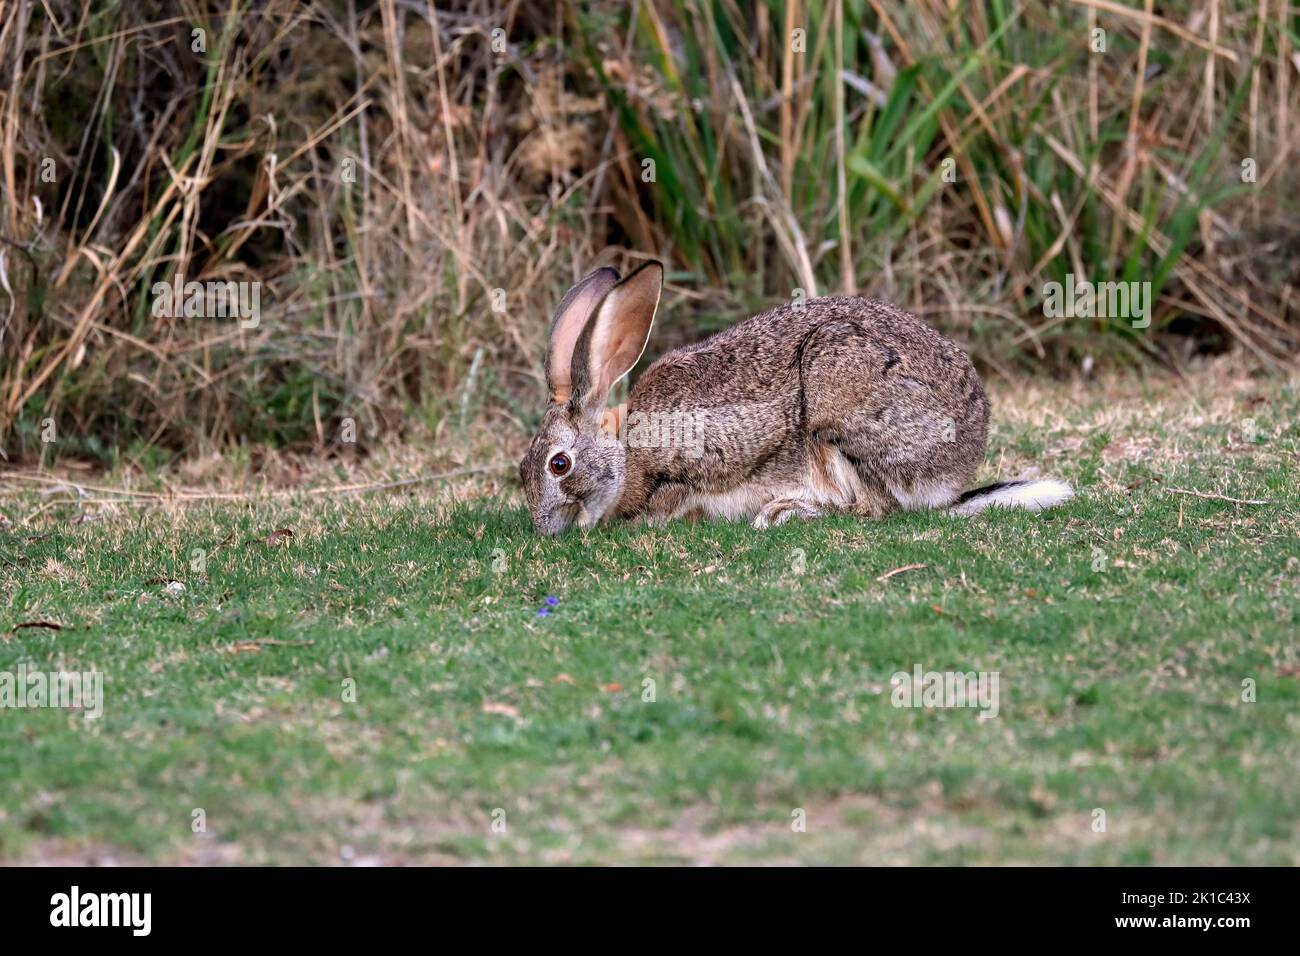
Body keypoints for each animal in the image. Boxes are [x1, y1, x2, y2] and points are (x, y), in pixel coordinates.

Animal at [520, 261, 1072, 535]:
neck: (625, 451)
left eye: (559, 465)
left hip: (836, 413)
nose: (545, 529)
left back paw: (783, 514)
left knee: (873, 508)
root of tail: (958, 471)